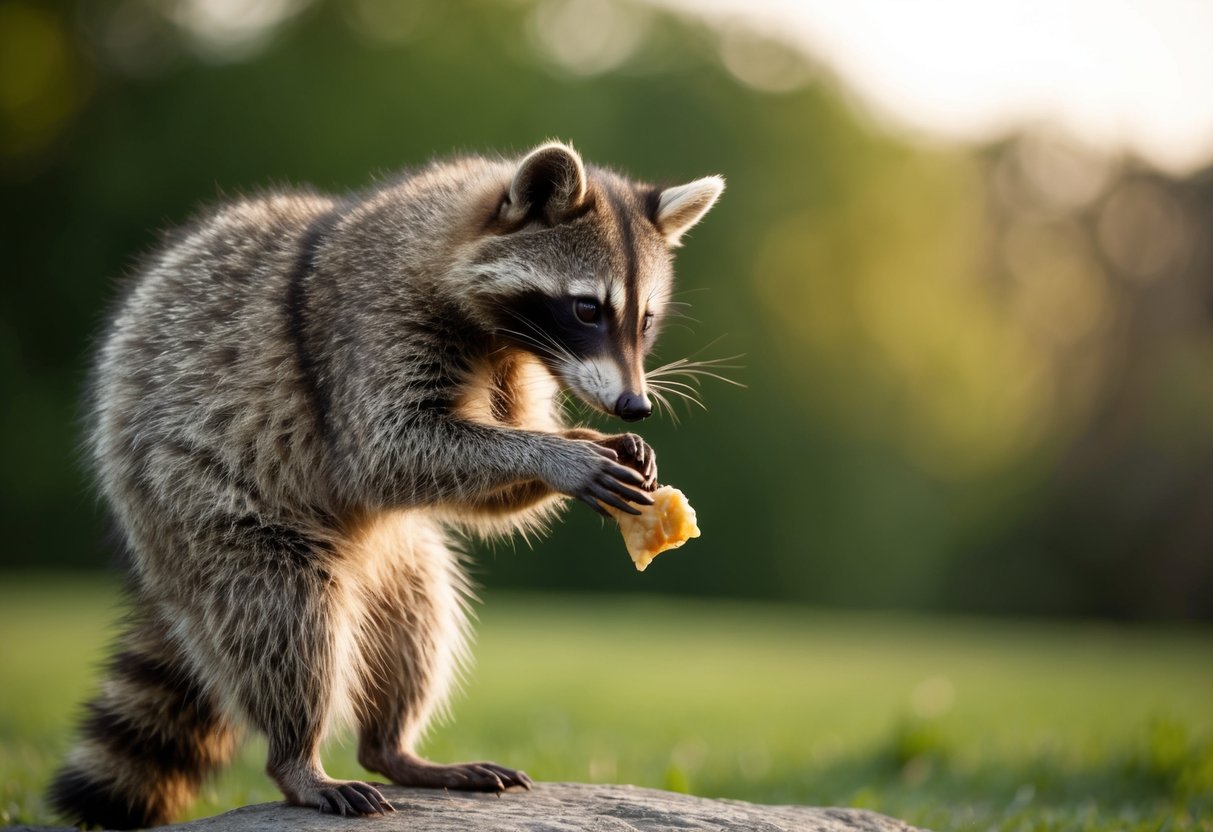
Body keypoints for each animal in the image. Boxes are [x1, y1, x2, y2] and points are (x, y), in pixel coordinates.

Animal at [48, 141, 723, 827]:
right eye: (588, 309)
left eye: (645, 320)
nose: (635, 406)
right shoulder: (367, 329)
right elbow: (386, 453)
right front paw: (558, 456)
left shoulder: (511, 365)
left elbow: (489, 499)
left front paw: (587, 442)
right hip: (191, 501)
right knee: (285, 617)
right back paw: (297, 760)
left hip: (397, 555)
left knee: (417, 618)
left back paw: (393, 748)